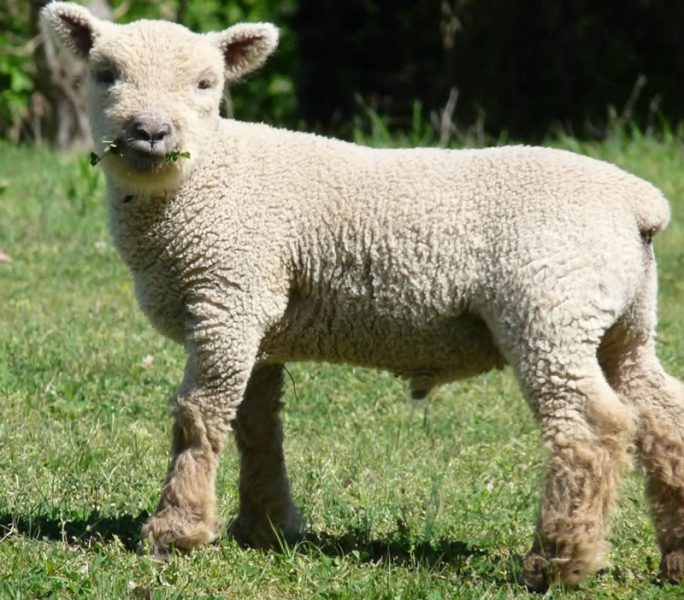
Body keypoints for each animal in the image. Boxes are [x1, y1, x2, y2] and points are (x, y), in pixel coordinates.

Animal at [41, 1, 684, 590]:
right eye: (105, 74)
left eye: (206, 83)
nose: (150, 132)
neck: (210, 180)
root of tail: (640, 205)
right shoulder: (257, 321)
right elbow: (256, 424)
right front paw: (265, 527)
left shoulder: (229, 298)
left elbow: (198, 417)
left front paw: (177, 532)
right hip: (622, 320)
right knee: (661, 415)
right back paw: (673, 556)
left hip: (549, 305)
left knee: (591, 425)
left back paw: (558, 560)